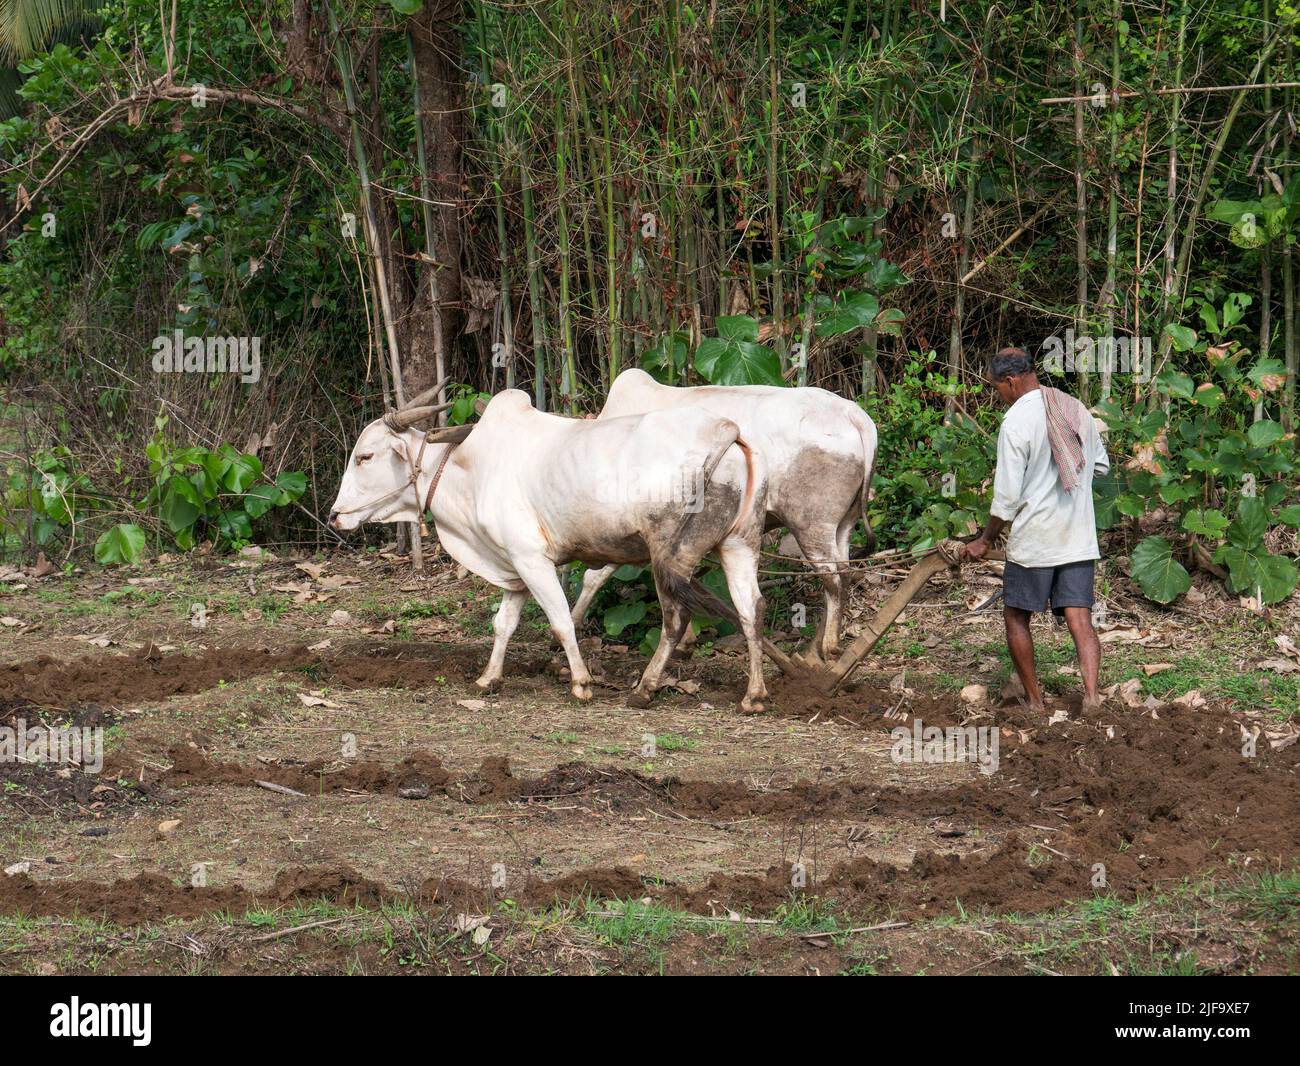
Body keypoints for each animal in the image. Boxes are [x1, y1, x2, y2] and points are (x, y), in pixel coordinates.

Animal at [328, 389, 772, 711]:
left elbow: (560, 620)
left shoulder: (532, 559)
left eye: (365, 456)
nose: (334, 516)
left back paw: (644, 688)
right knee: (751, 609)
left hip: (668, 554)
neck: (466, 471)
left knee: (676, 618)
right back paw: (753, 695)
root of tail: (723, 429)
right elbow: (503, 624)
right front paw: (489, 678)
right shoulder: (514, 569)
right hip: (738, 544)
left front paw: (581, 683)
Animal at [571, 368, 878, 662]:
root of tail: (855, 414)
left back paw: (827, 647)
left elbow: (594, 576)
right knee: (844, 573)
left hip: (811, 524)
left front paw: (572, 623)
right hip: (843, 524)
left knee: (834, 579)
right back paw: (817, 649)